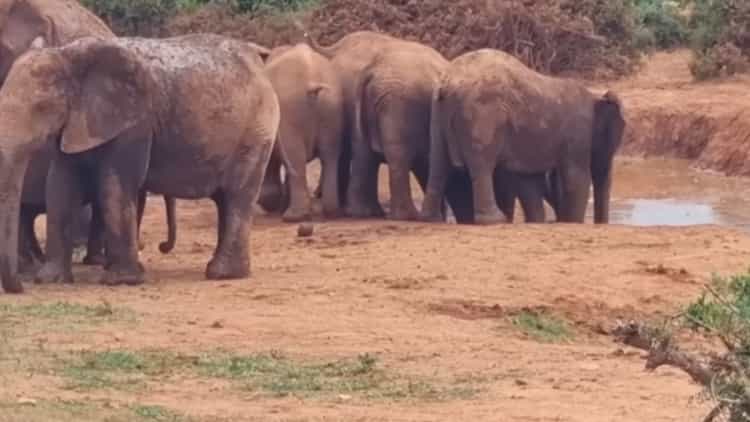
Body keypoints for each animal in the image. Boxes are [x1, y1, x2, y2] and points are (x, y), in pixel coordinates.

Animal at [0, 32, 282, 293]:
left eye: (40, 108)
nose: (22, 288)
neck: (68, 55)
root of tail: (261, 65)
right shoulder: (77, 123)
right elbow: (60, 186)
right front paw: (51, 280)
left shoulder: (135, 123)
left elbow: (114, 185)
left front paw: (120, 281)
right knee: (225, 200)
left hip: (256, 131)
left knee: (237, 195)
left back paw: (222, 274)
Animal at [258, 43, 345, 222]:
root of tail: (312, 81)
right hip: (332, 106)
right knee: (330, 155)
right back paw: (332, 213)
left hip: (291, 109)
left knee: (296, 158)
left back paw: (293, 217)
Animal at [420, 49, 625, 225]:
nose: (600, 223)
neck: (595, 96)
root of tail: (447, 82)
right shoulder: (577, 133)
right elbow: (577, 178)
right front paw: (571, 223)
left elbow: (529, 180)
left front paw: (539, 221)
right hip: (483, 114)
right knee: (482, 163)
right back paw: (495, 221)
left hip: (437, 111)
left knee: (438, 162)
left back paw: (431, 218)